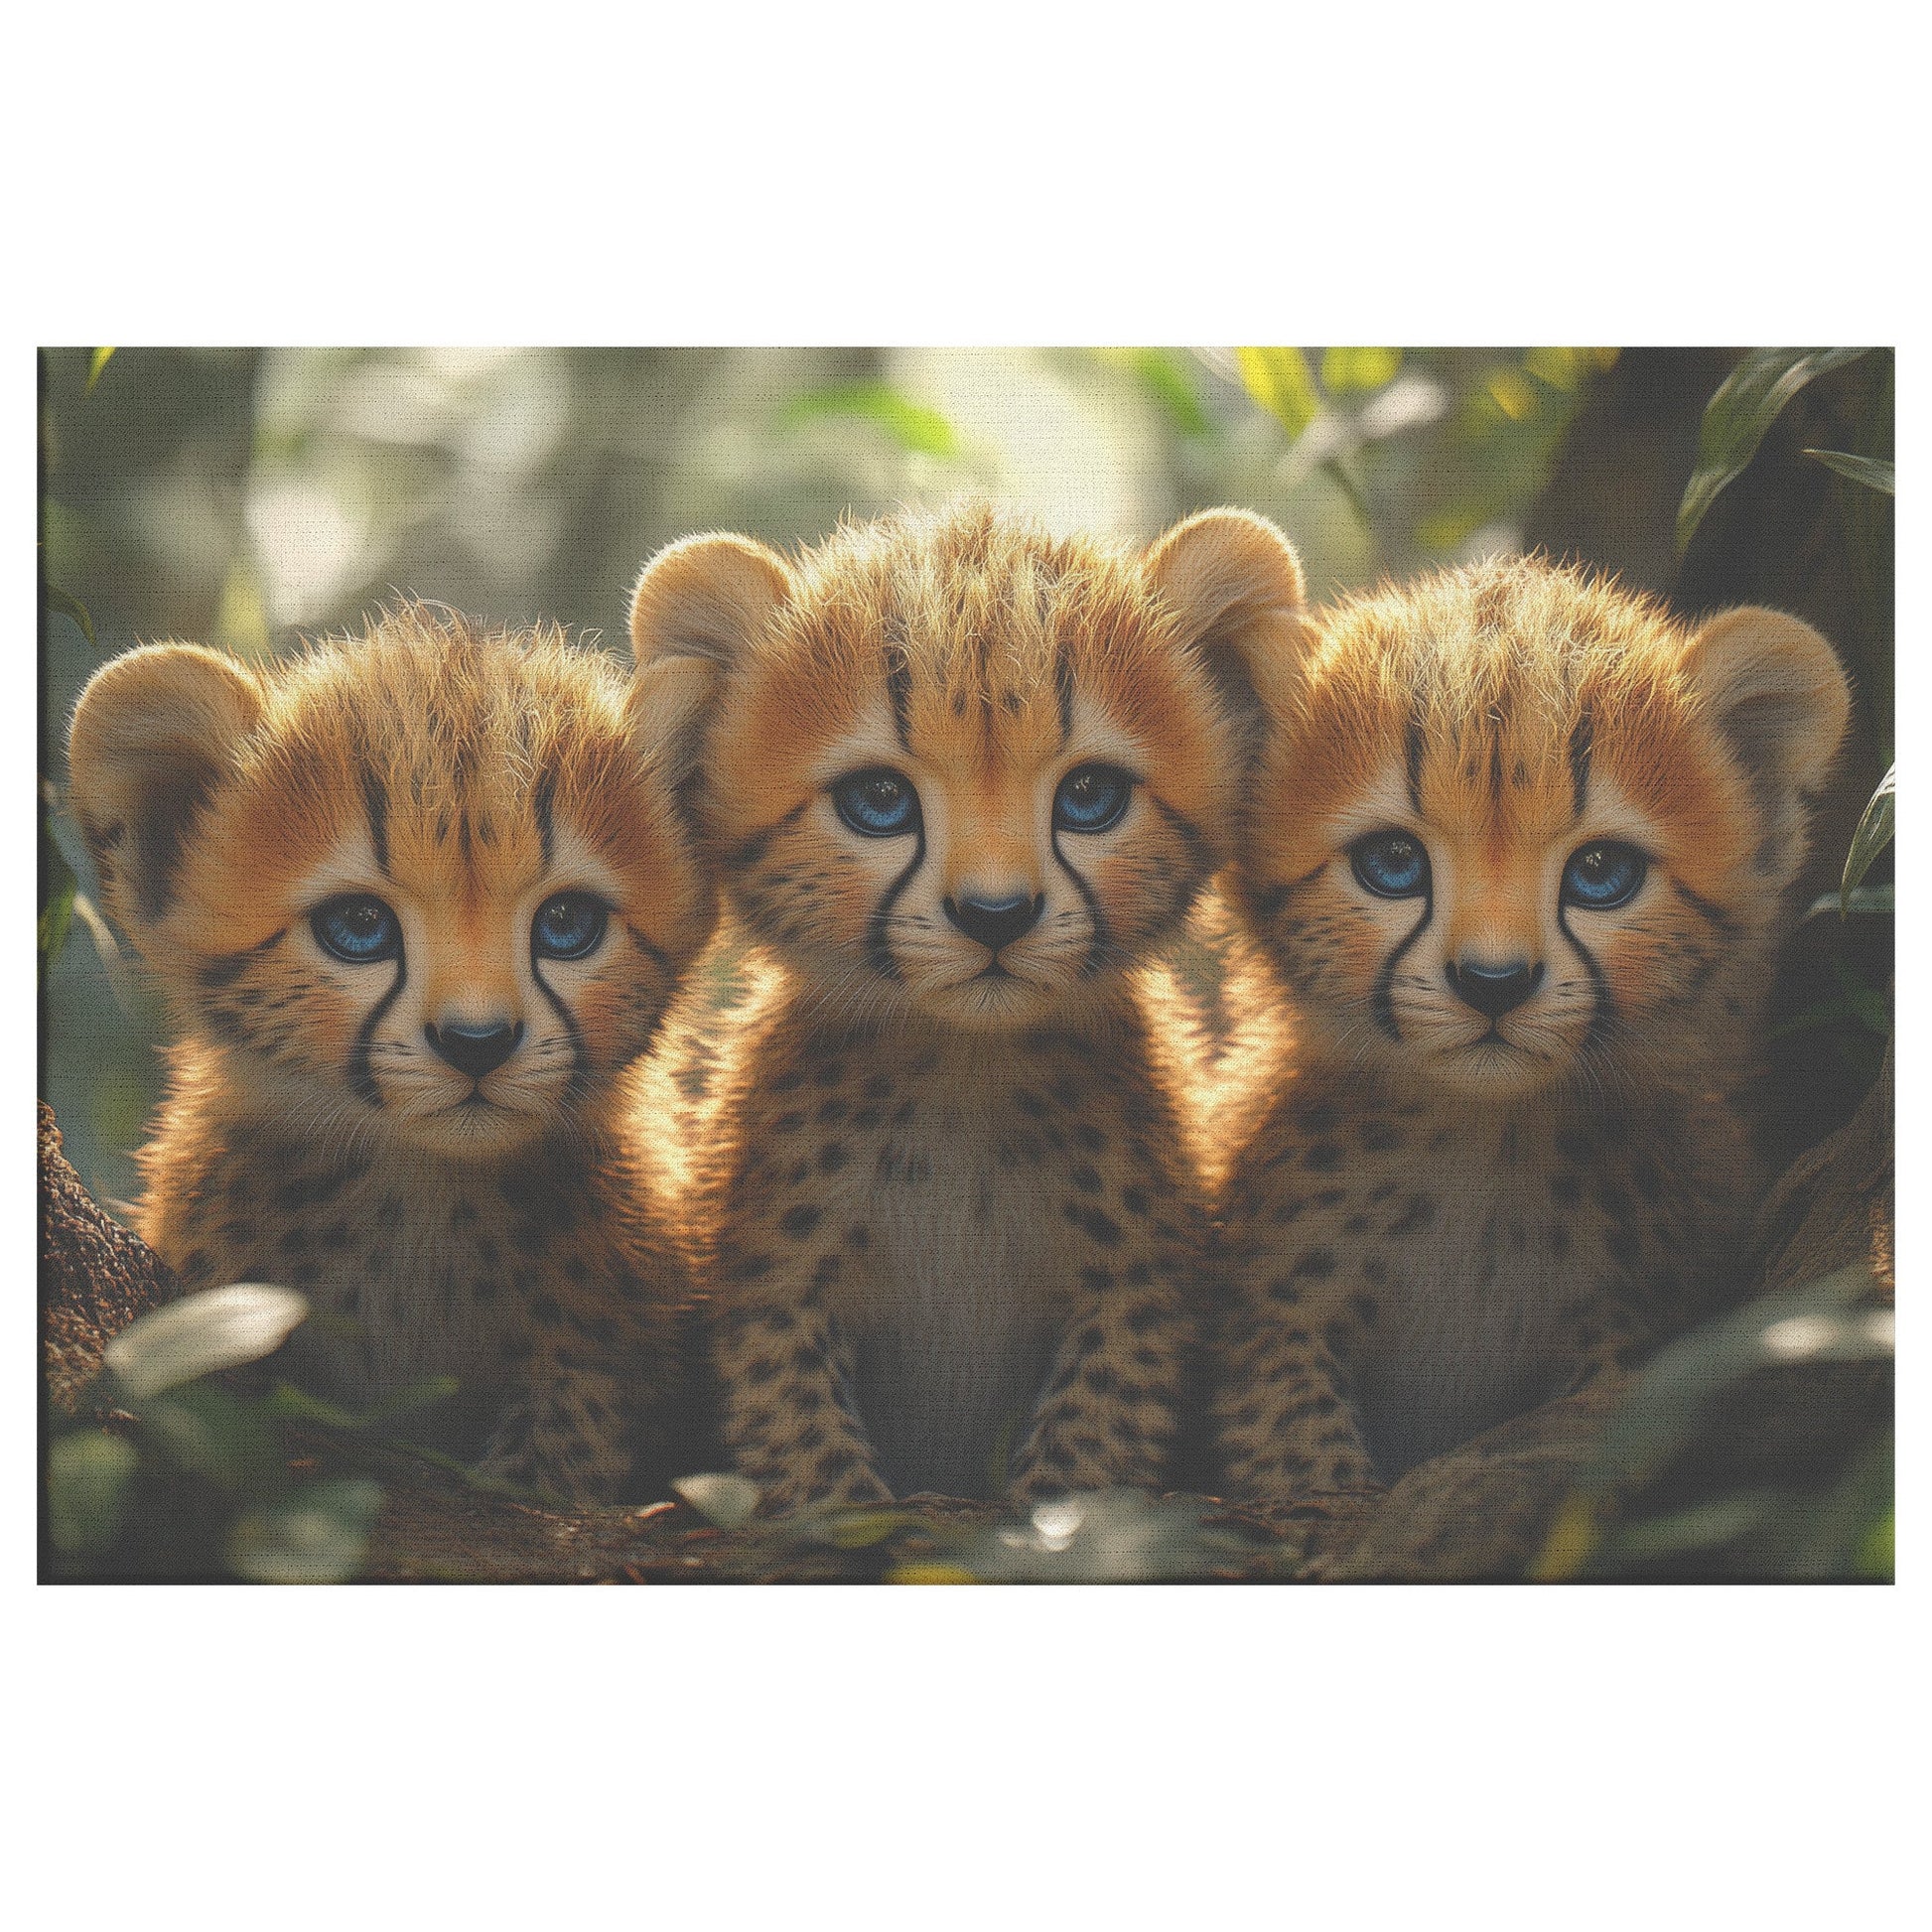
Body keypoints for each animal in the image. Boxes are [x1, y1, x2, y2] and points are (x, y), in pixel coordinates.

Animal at [628, 499, 1310, 1516]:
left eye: (1091, 795)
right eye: (878, 799)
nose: (996, 915)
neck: (963, 1069)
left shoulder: (1135, 1295)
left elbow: (1088, 1446)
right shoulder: (771, 1294)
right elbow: (807, 1449)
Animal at [1213, 554, 1851, 1497]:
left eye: (1601, 872)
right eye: (1392, 862)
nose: (1494, 983)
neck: (1491, 1147)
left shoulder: (1629, 1325)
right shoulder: (1276, 1316)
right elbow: (1292, 1441)